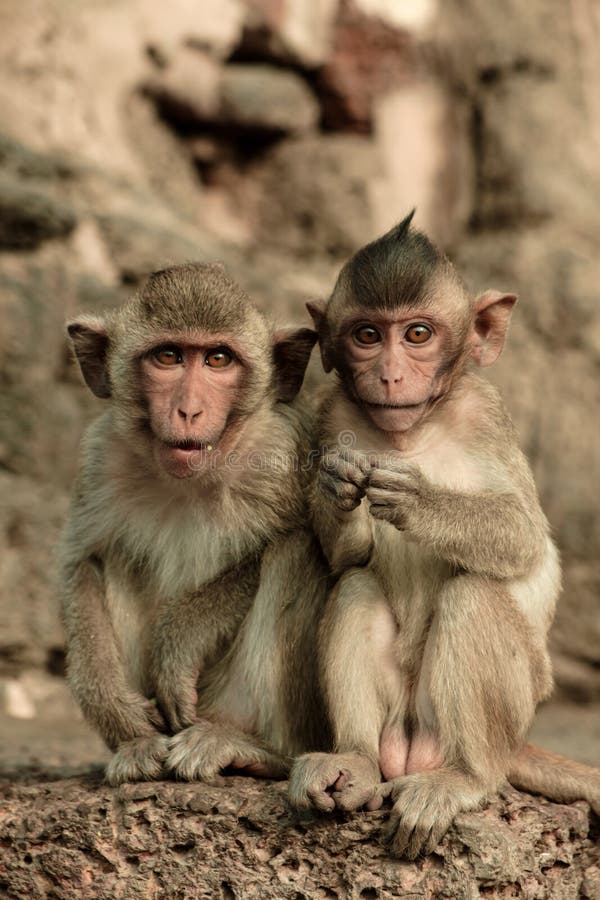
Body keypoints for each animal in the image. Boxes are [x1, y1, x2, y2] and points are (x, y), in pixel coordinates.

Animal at [60, 261, 329, 786]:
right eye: (168, 356)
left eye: (218, 359)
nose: (188, 410)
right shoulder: (101, 457)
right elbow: (83, 563)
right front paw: (118, 713)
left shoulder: (283, 456)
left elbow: (298, 541)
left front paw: (179, 641)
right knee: (118, 557)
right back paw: (140, 744)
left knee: (294, 552)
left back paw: (252, 748)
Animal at [288, 212, 600, 858]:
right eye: (366, 335)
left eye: (417, 334)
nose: (390, 373)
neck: (412, 433)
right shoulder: (331, 414)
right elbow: (345, 557)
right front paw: (336, 485)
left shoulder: (486, 412)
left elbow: (522, 535)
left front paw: (418, 499)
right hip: (399, 723)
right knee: (357, 587)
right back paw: (354, 762)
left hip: (513, 707)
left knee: (474, 593)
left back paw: (463, 778)